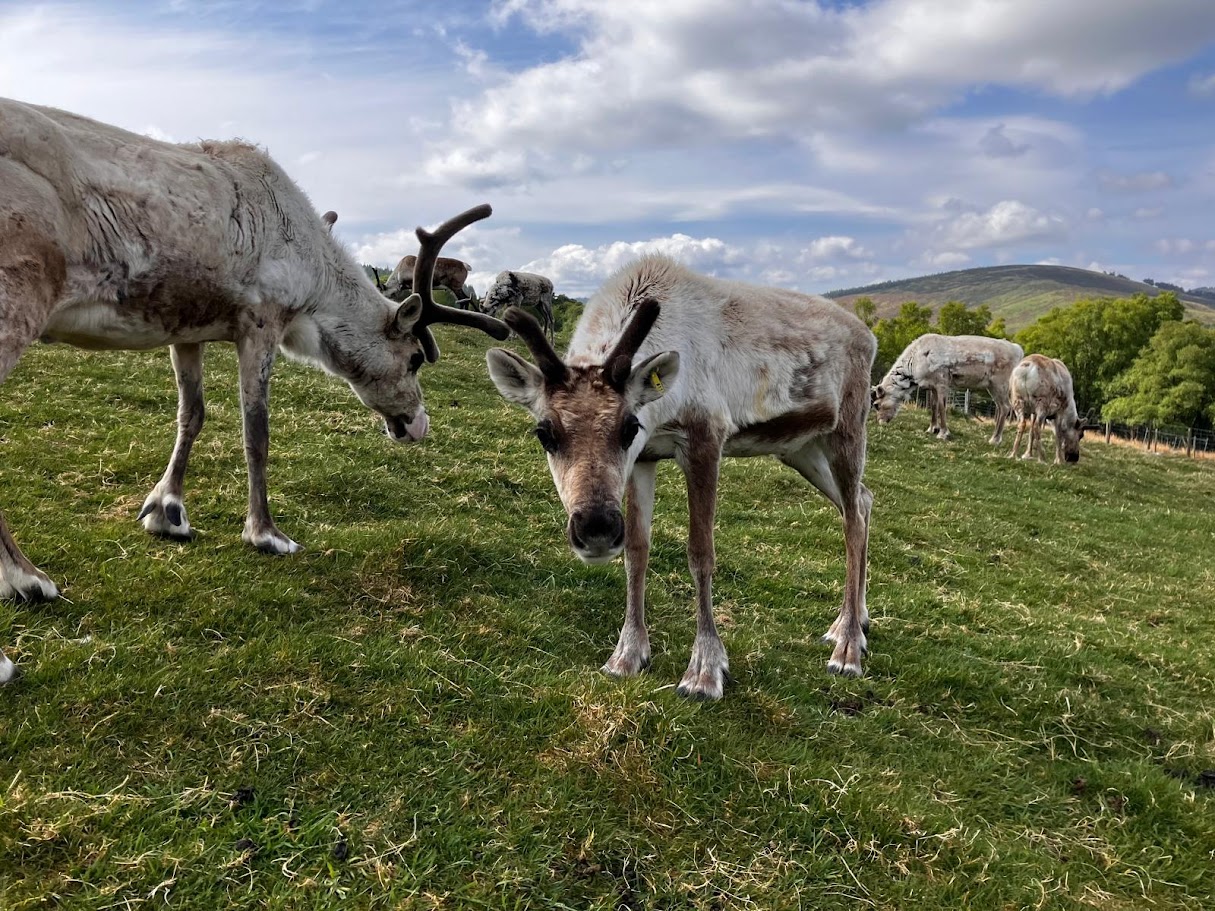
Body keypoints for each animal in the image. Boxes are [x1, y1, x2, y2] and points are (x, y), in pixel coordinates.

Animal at [0, 96, 508, 604]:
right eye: (416, 358)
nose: (419, 424)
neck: (313, 282)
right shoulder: (261, 320)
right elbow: (256, 432)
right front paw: (265, 533)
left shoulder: (186, 330)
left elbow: (192, 414)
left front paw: (167, 511)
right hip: (19, 298)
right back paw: (27, 576)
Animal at [486, 254, 876, 700]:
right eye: (544, 433)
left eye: (629, 426)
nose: (597, 530)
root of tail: (868, 335)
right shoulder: (645, 458)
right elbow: (637, 551)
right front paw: (627, 654)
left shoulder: (705, 437)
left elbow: (701, 552)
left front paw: (705, 669)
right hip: (801, 448)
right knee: (862, 502)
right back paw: (854, 621)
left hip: (848, 428)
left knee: (851, 521)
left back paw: (848, 647)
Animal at [871, 334, 1024, 443]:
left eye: (876, 404)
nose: (880, 422)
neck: (914, 365)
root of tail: (1019, 351)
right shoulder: (932, 385)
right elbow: (933, 406)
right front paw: (932, 428)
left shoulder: (942, 383)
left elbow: (941, 407)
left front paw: (943, 433)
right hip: (992, 386)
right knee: (1000, 407)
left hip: (999, 383)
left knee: (1005, 407)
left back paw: (995, 439)